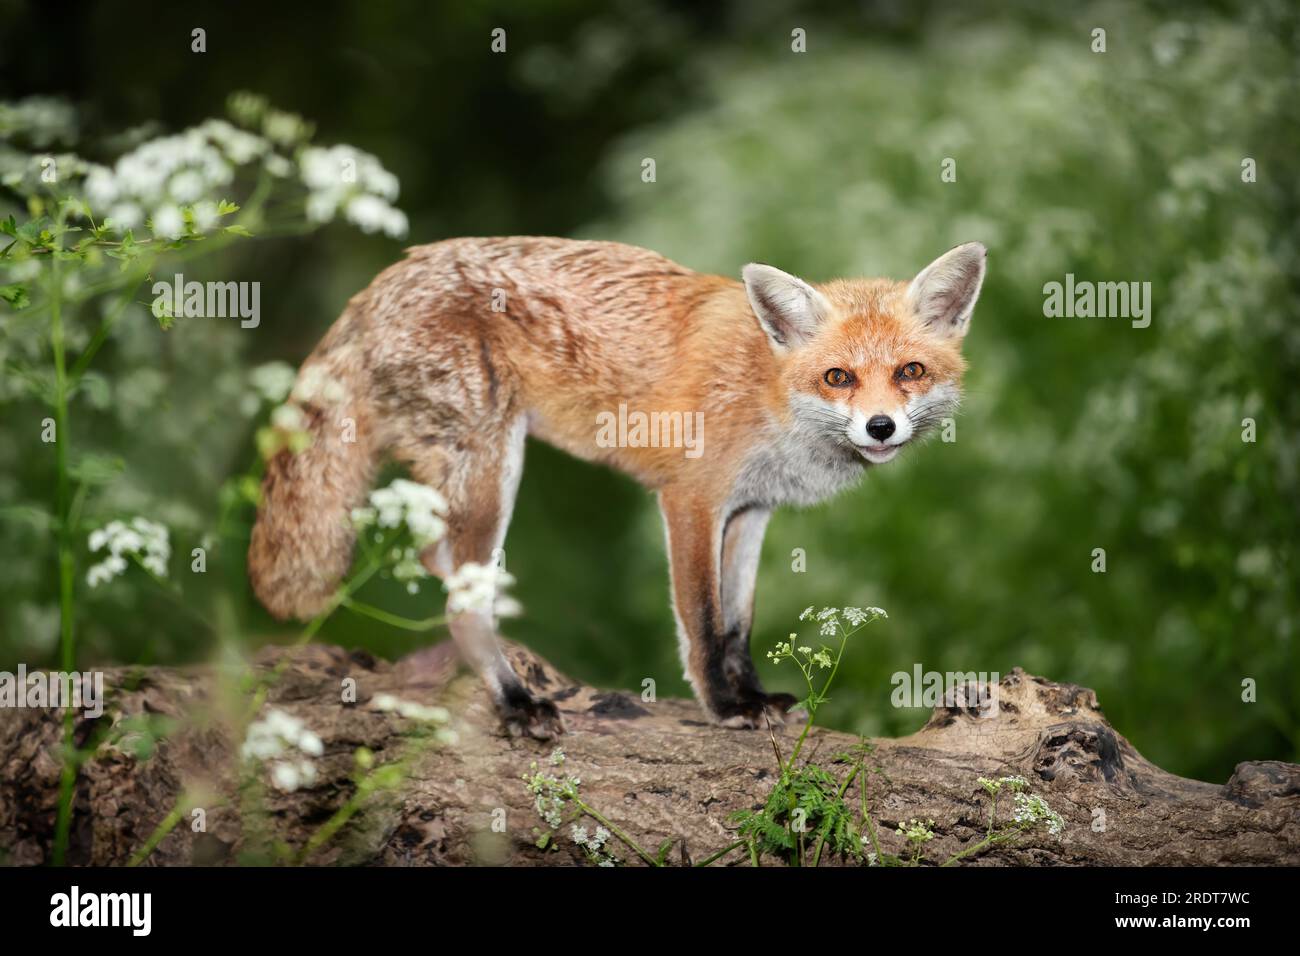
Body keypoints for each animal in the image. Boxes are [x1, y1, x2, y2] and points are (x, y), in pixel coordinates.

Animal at [248, 237, 986, 739]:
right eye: (839, 377)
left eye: (910, 371)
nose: (881, 426)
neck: (766, 385)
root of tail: (380, 283)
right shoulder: (691, 499)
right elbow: (703, 623)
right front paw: (725, 707)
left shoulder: (751, 510)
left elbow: (739, 623)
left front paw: (754, 696)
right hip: (495, 467)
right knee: (461, 599)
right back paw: (516, 703)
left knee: (437, 558)